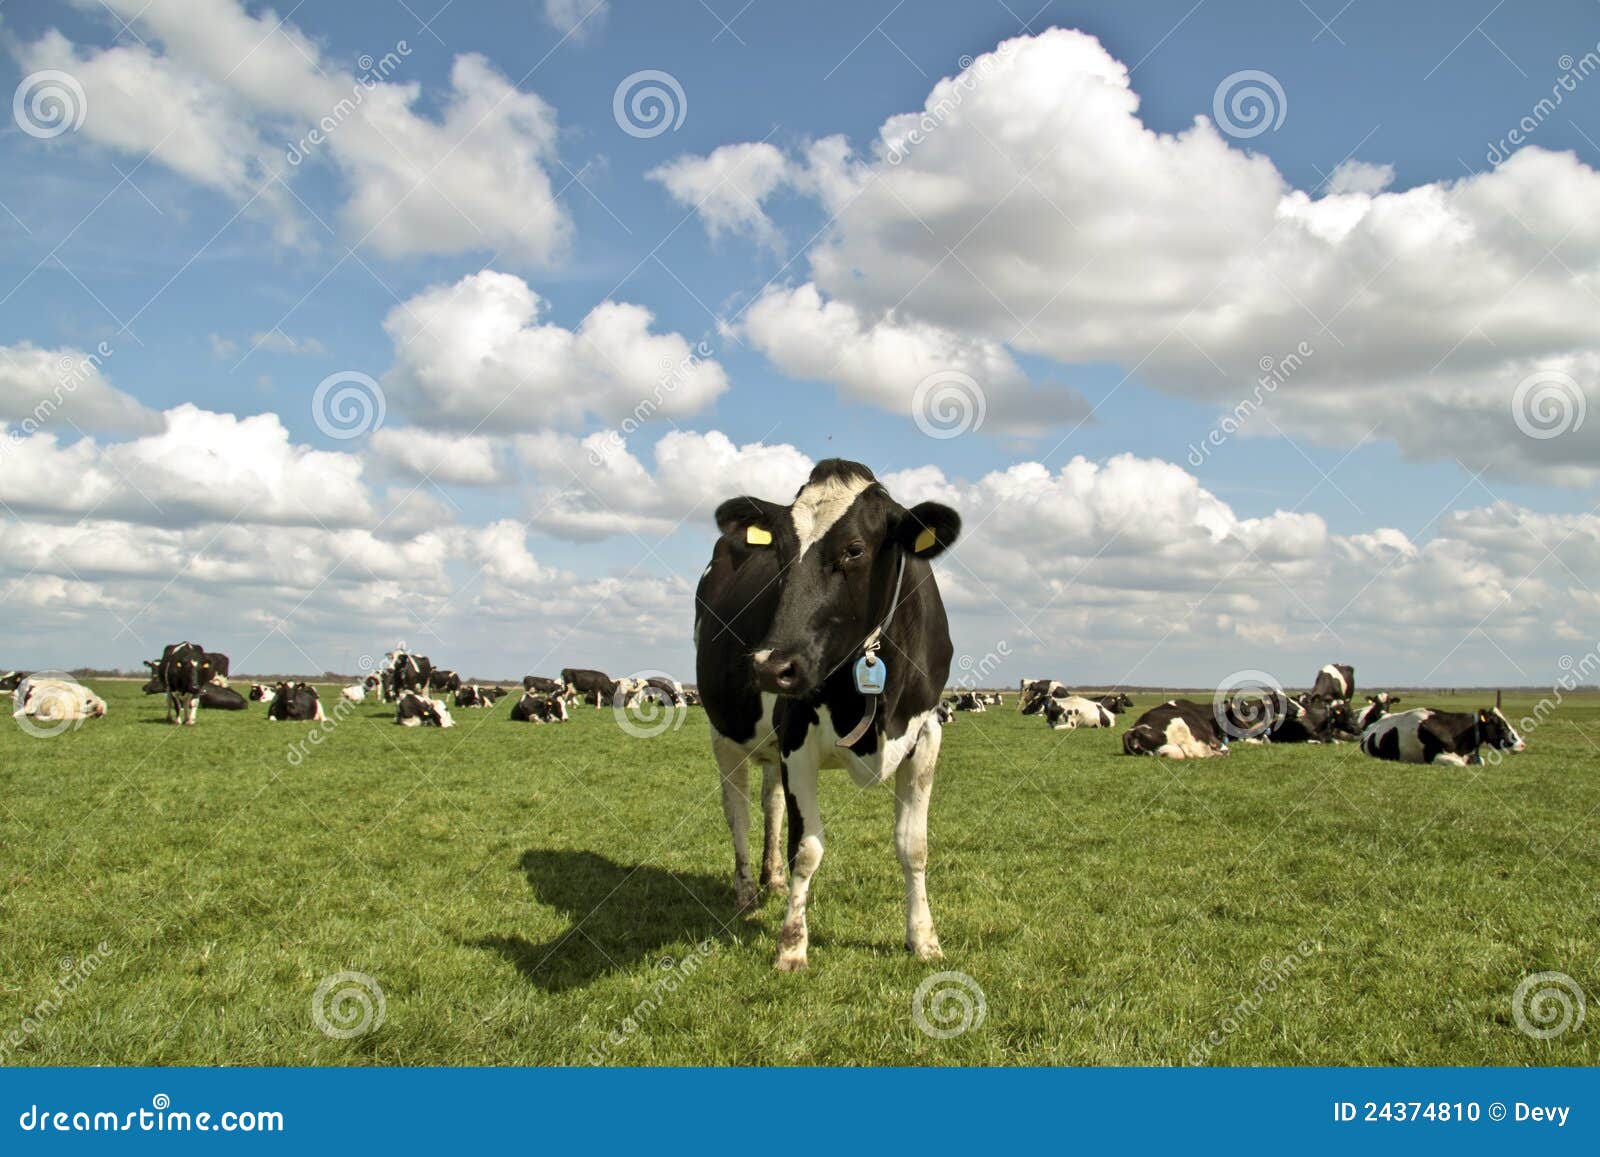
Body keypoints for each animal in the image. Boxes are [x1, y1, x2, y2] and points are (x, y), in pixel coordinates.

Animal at [696, 459, 962, 970]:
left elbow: (913, 847)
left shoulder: (926, 735)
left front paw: (923, 939)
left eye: (854, 550)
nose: (770, 666)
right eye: (780, 551)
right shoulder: (796, 736)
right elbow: (807, 848)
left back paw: (772, 879)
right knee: (736, 810)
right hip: (724, 733)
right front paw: (791, 945)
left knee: (771, 803)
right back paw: (746, 891)